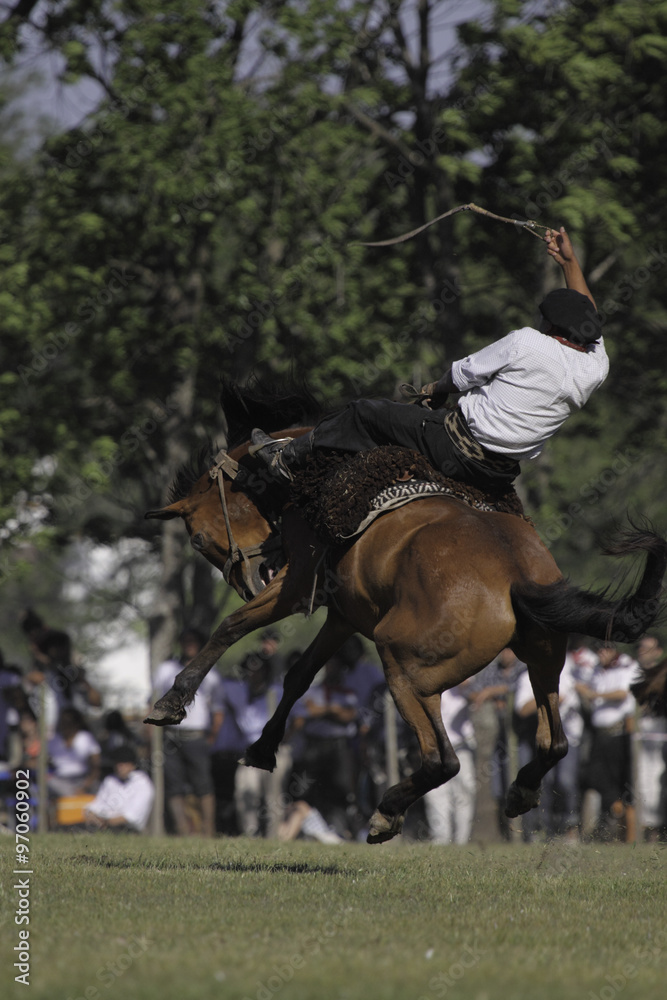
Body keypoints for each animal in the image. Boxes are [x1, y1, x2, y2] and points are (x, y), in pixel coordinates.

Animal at [144, 383, 667, 843]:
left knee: (443, 760)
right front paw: (262, 748)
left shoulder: (297, 582)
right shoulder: (344, 615)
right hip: (538, 662)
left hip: (403, 666)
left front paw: (171, 701)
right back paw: (520, 790)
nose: (250, 580)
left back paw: (387, 812)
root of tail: (515, 575)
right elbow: (299, 676)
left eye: (197, 539)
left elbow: (231, 627)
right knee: (552, 742)